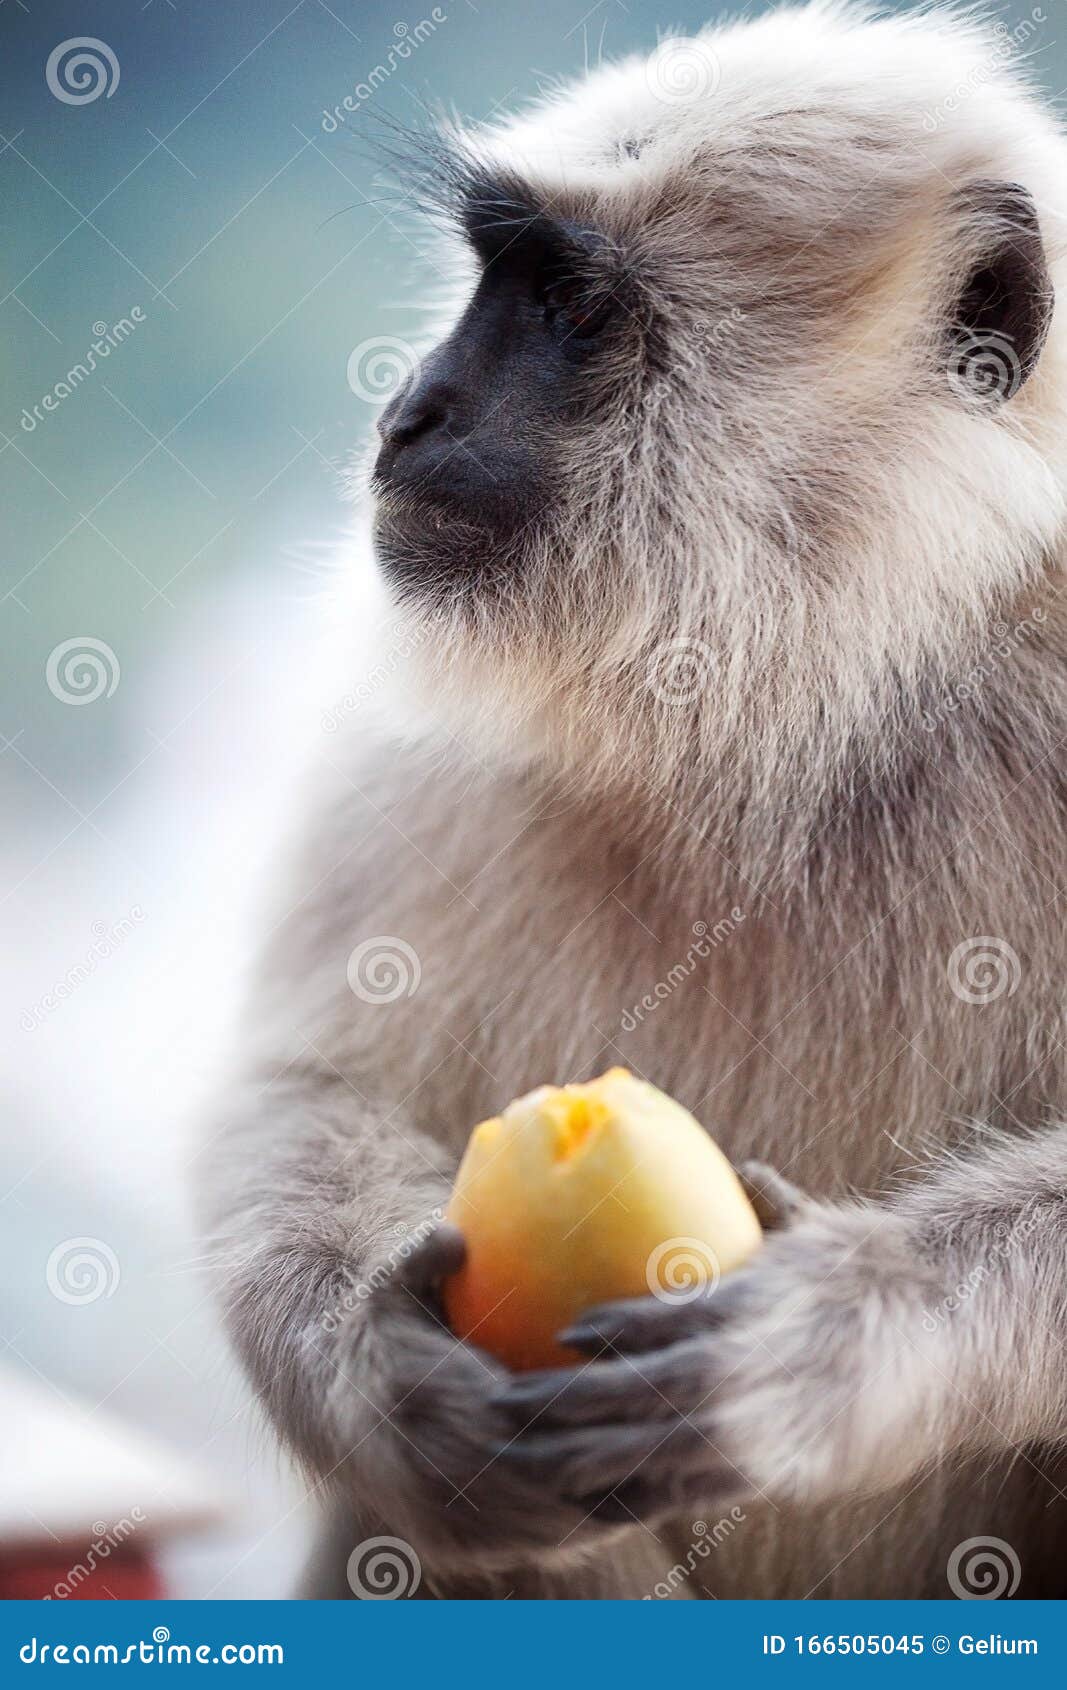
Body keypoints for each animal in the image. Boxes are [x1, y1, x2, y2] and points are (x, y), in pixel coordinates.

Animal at [202, 1, 1067, 1599]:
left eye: (567, 307)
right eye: (497, 277)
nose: (408, 412)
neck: (824, 681)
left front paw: (833, 1339)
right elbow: (301, 1079)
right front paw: (392, 1374)